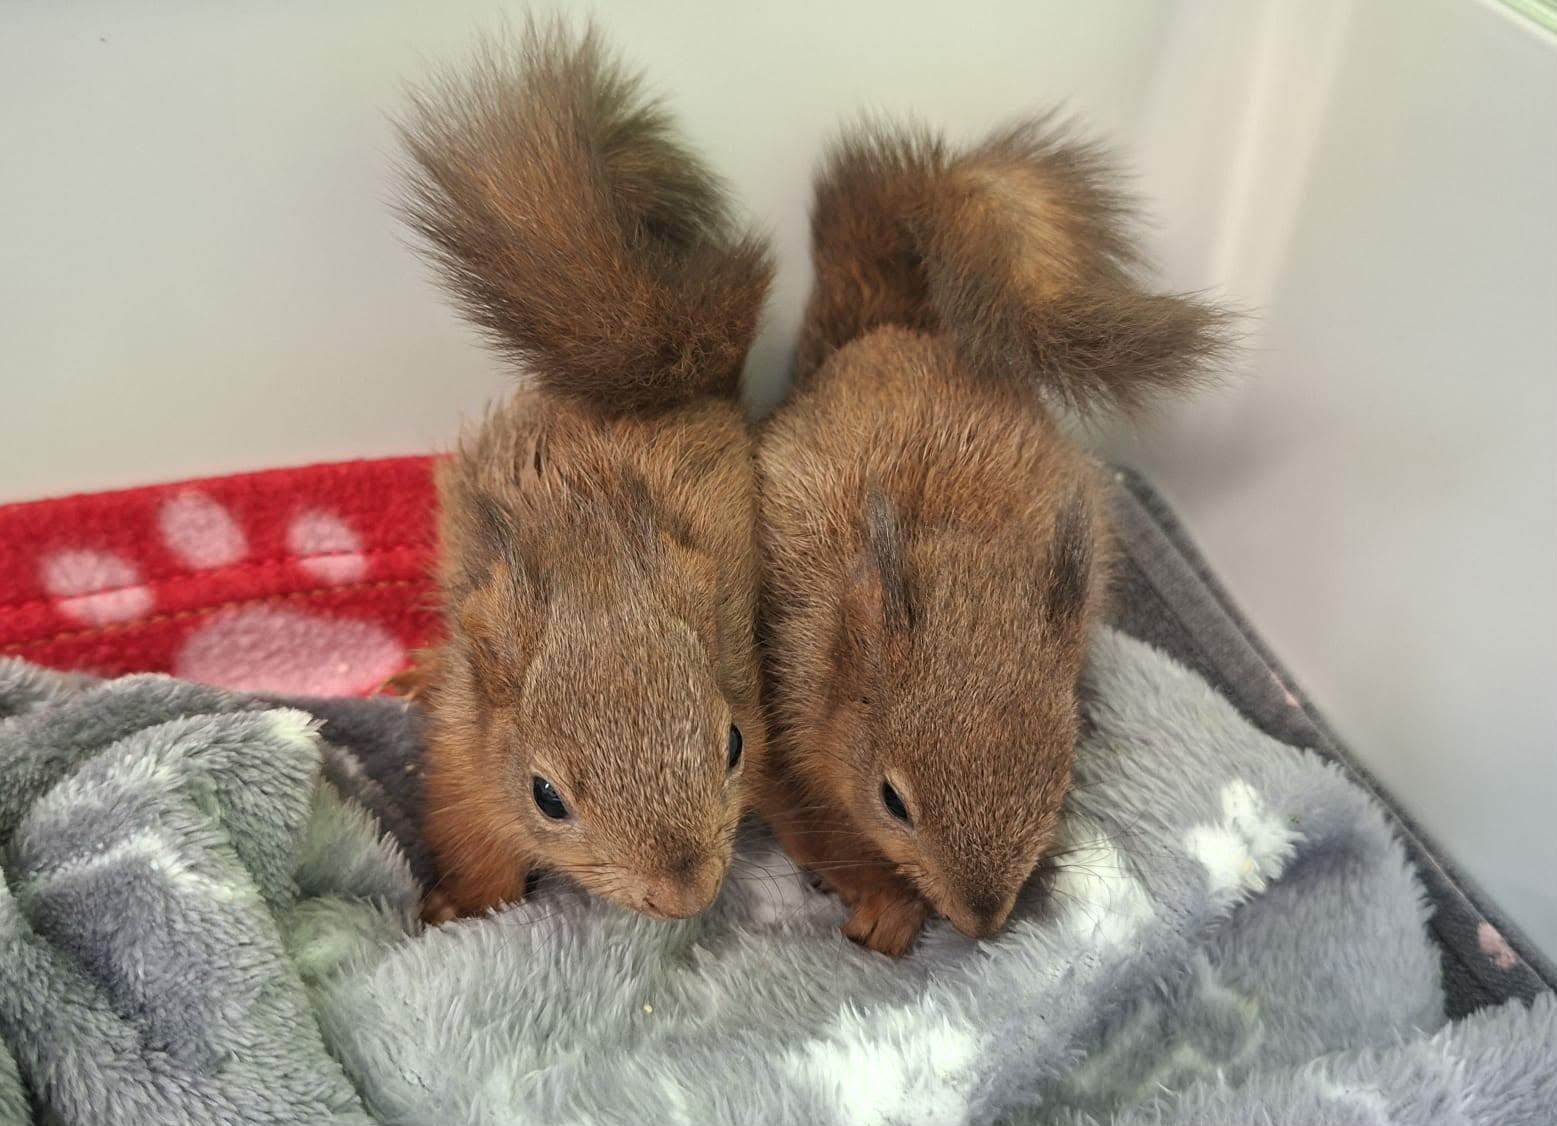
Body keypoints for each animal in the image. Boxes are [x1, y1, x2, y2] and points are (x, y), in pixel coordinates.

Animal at [395, 23, 772, 924]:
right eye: (546, 796)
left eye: (734, 742)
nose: (683, 895)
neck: (589, 561)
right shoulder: (466, 763)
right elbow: (473, 840)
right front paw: (459, 910)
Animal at [752, 118, 1233, 955]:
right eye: (891, 800)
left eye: (1060, 774)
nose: (981, 922)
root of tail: (891, 334)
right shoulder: (785, 718)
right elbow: (817, 826)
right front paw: (883, 902)